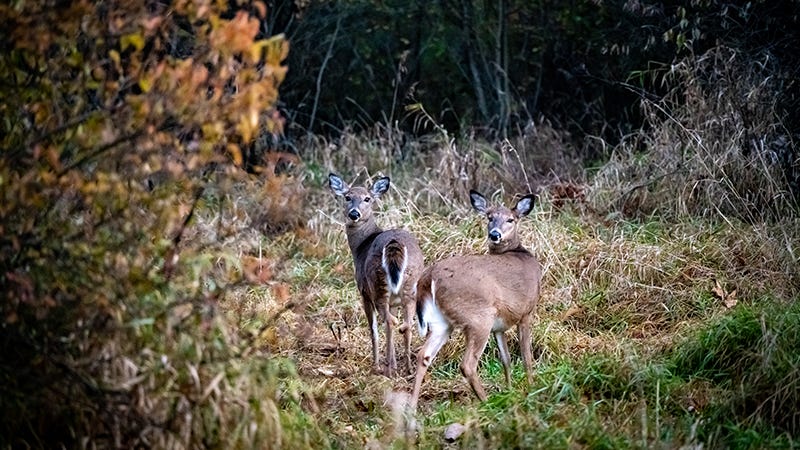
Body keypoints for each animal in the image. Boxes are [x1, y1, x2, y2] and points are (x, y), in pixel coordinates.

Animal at [328, 173, 424, 377]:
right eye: (347, 197)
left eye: (367, 199)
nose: (354, 214)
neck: (360, 247)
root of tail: (394, 245)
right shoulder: (394, 301)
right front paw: (393, 361)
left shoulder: (364, 292)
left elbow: (373, 329)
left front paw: (378, 363)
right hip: (410, 286)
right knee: (406, 323)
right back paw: (408, 368)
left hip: (377, 284)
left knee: (390, 322)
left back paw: (386, 368)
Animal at [409, 189, 542, 408]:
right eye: (489, 217)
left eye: (510, 219)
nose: (494, 234)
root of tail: (428, 277)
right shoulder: (526, 311)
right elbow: (526, 357)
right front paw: (532, 390)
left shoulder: (499, 326)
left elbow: (505, 359)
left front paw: (510, 391)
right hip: (478, 318)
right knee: (467, 365)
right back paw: (487, 403)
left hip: (441, 322)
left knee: (424, 355)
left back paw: (410, 408)